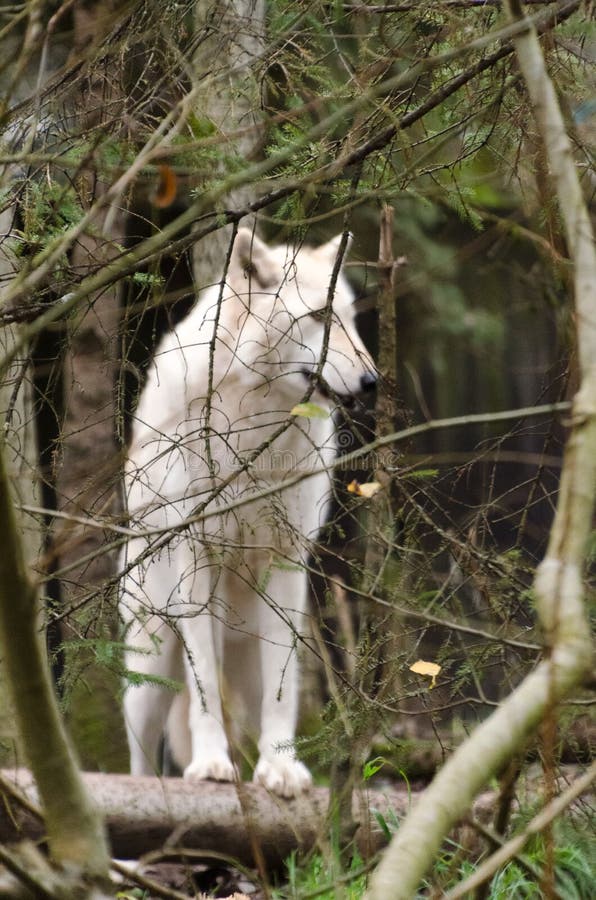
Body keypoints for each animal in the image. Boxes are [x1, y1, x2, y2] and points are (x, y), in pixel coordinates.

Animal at [120, 228, 376, 797]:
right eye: (320, 315)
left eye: (351, 318)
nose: (374, 381)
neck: (252, 426)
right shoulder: (197, 556)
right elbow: (204, 695)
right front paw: (211, 765)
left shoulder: (285, 560)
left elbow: (280, 698)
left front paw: (281, 771)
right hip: (153, 659)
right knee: (141, 756)